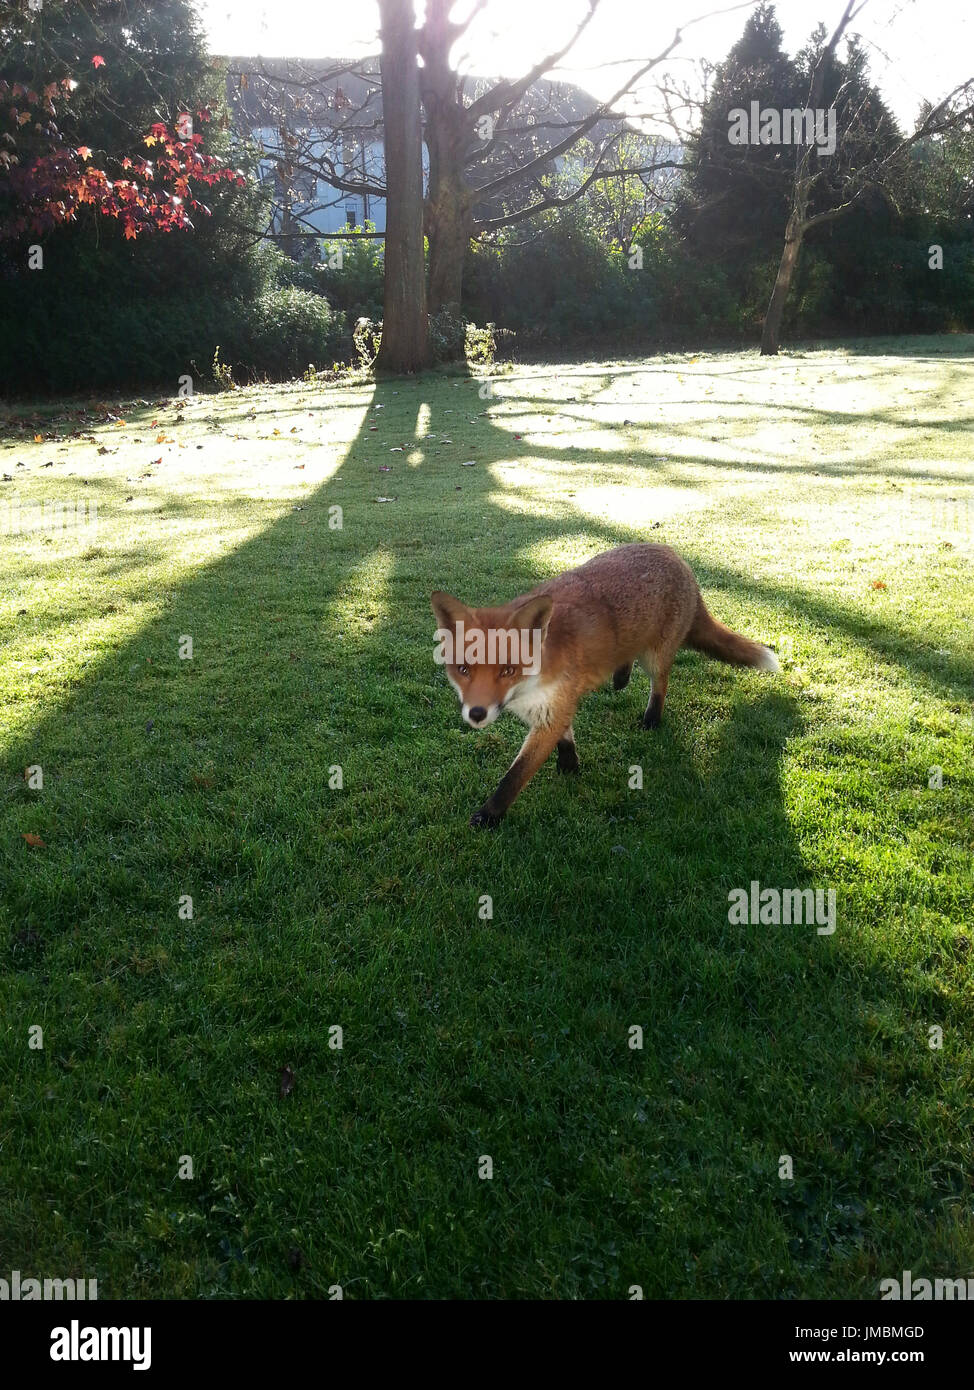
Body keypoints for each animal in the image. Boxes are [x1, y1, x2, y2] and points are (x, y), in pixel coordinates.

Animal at [431, 542, 779, 828]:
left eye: (507, 670)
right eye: (463, 669)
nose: (477, 713)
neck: (530, 686)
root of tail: (675, 556)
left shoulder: (554, 707)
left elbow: (515, 776)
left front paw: (488, 816)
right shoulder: (557, 704)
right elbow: (566, 737)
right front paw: (570, 765)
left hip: (655, 657)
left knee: (661, 683)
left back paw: (651, 718)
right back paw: (620, 677)